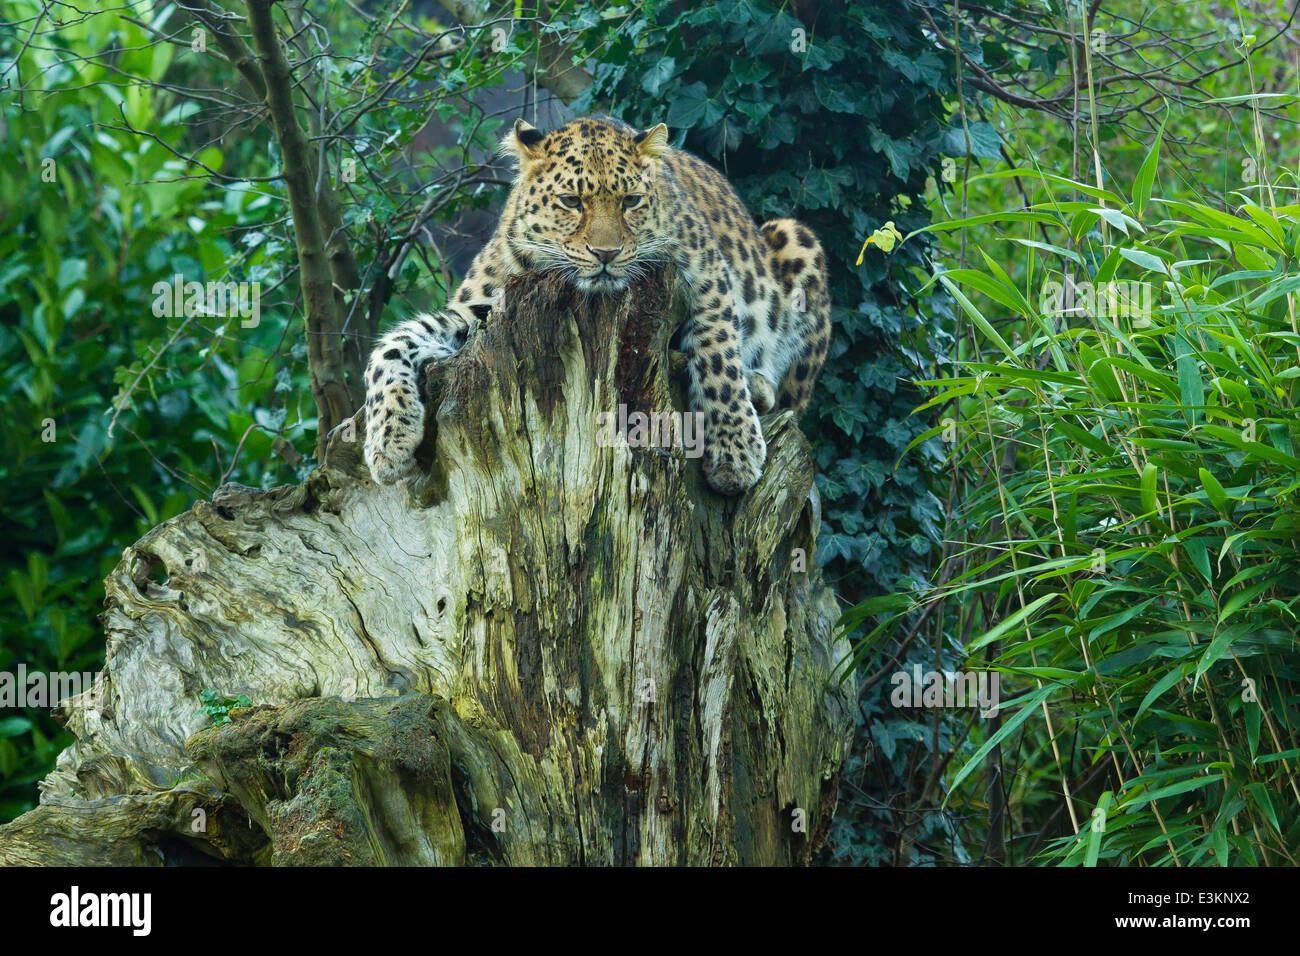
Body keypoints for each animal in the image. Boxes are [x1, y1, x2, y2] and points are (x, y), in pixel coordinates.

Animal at [362, 115, 831, 495]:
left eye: (631, 201)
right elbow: (392, 345)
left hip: (797, 240)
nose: (606, 253)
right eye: (572, 201)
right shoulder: (479, 309)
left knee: (788, 393)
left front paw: (736, 452)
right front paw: (387, 444)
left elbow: (719, 357)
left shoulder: (709, 275)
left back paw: (759, 387)